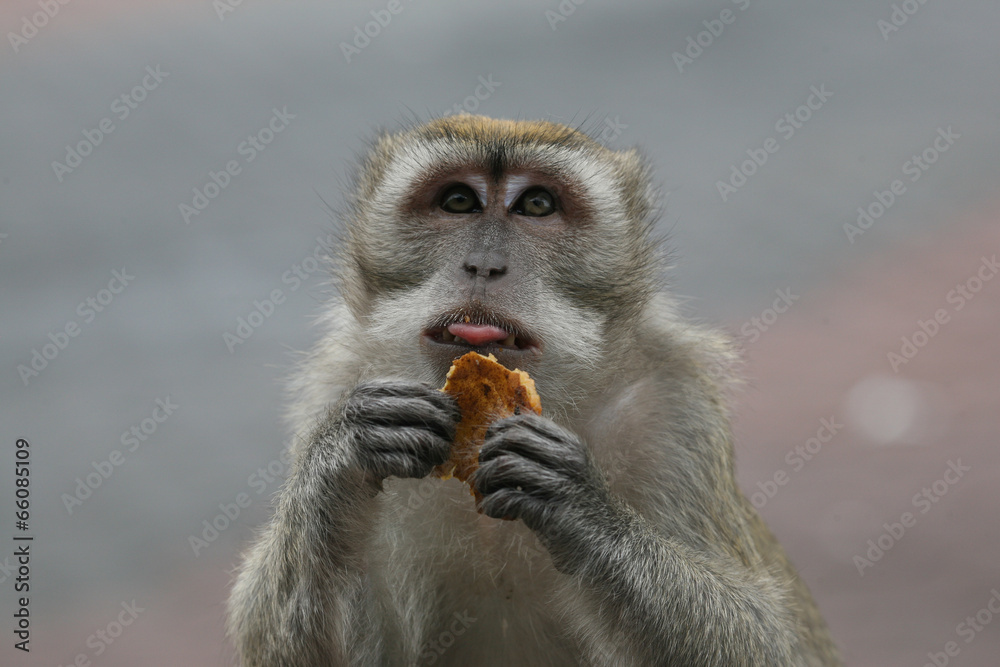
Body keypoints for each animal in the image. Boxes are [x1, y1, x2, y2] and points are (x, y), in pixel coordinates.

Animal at [227, 114, 842, 666]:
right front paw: (343, 456)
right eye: (458, 201)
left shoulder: (676, 406)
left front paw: (578, 505)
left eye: (538, 206)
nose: (484, 265)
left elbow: (768, 641)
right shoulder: (336, 382)